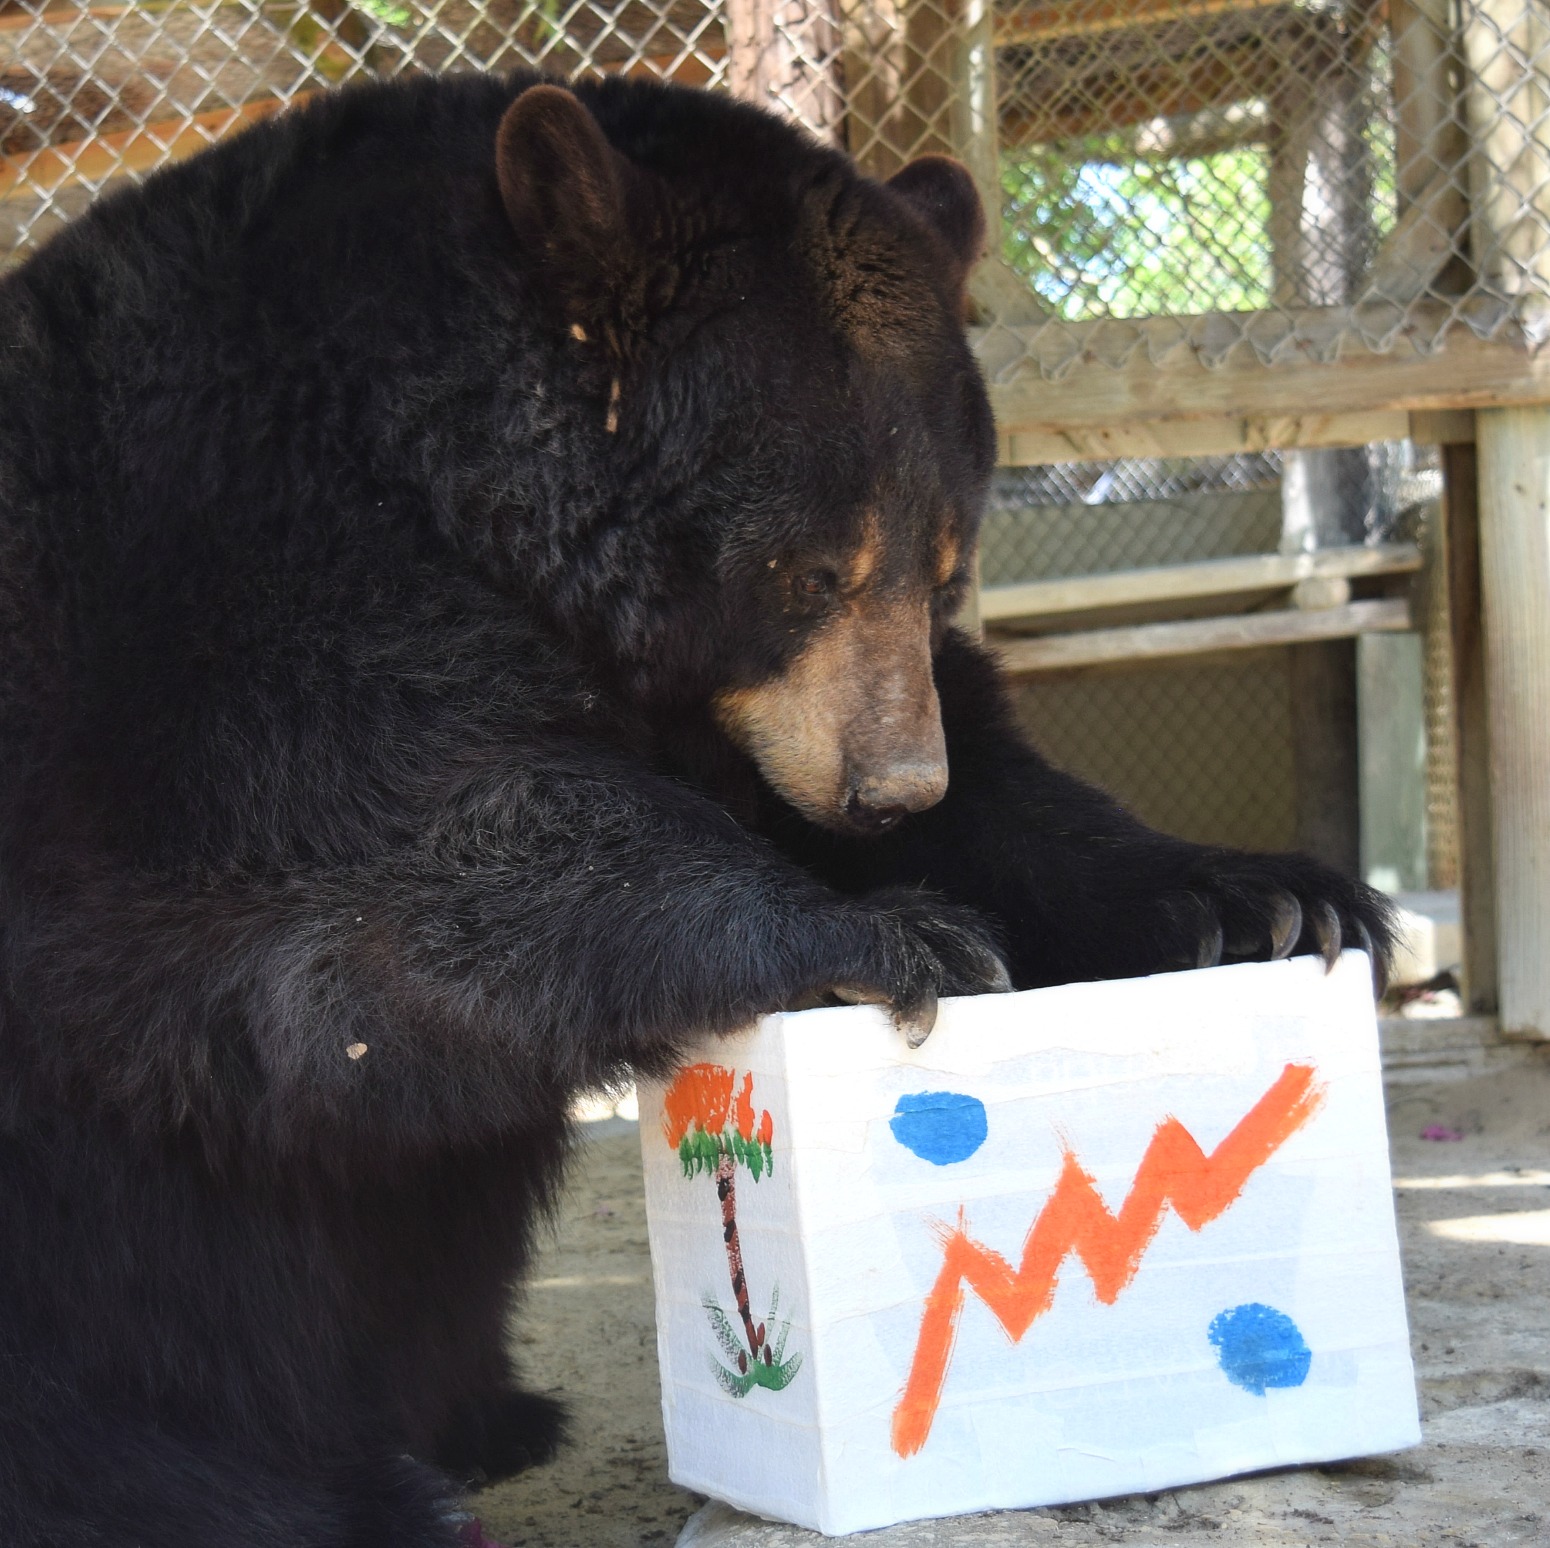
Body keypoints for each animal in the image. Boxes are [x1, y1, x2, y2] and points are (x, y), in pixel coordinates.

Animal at [0, 70, 1395, 1545]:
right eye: (807, 568)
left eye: (944, 560)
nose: (889, 792)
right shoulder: (219, 592)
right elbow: (394, 850)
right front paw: (877, 935)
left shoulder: (758, 710)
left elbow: (1001, 794)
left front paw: (1264, 895)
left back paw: (478, 1416)